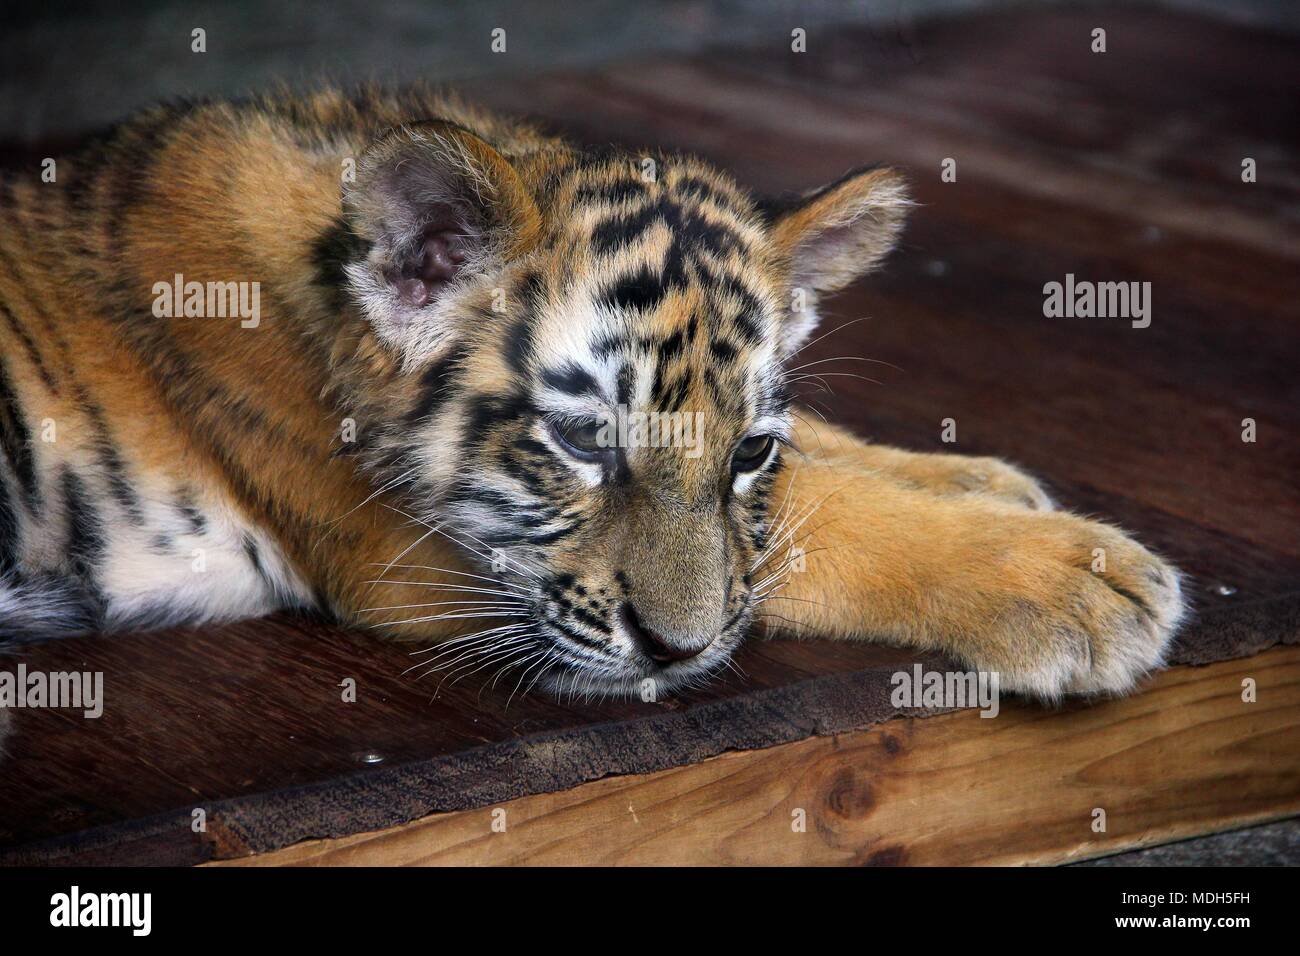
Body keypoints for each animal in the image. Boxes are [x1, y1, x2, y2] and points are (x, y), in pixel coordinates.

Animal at [0, 86, 1185, 700]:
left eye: (748, 450)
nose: (679, 652)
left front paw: (984, 480)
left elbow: (819, 468)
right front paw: (1081, 582)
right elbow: (819, 523)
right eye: (581, 440)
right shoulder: (396, 554)